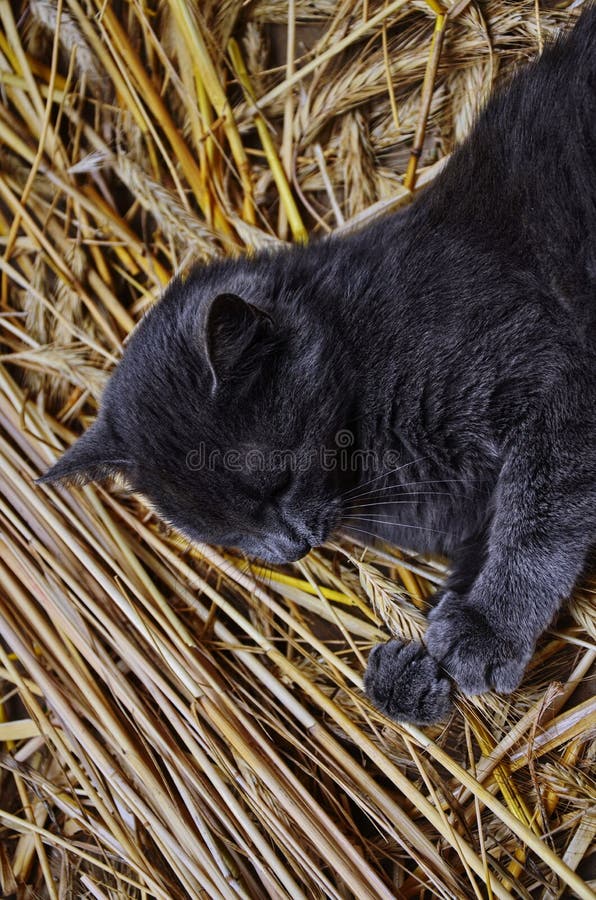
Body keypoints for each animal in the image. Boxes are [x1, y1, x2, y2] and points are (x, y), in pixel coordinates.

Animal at [38, 5, 596, 724]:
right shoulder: (472, 506)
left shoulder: (553, 375)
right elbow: (485, 542)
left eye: (277, 482)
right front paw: (412, 673)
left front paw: (486, 626)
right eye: (226, 534)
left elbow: (536, 517)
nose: (293, 549)